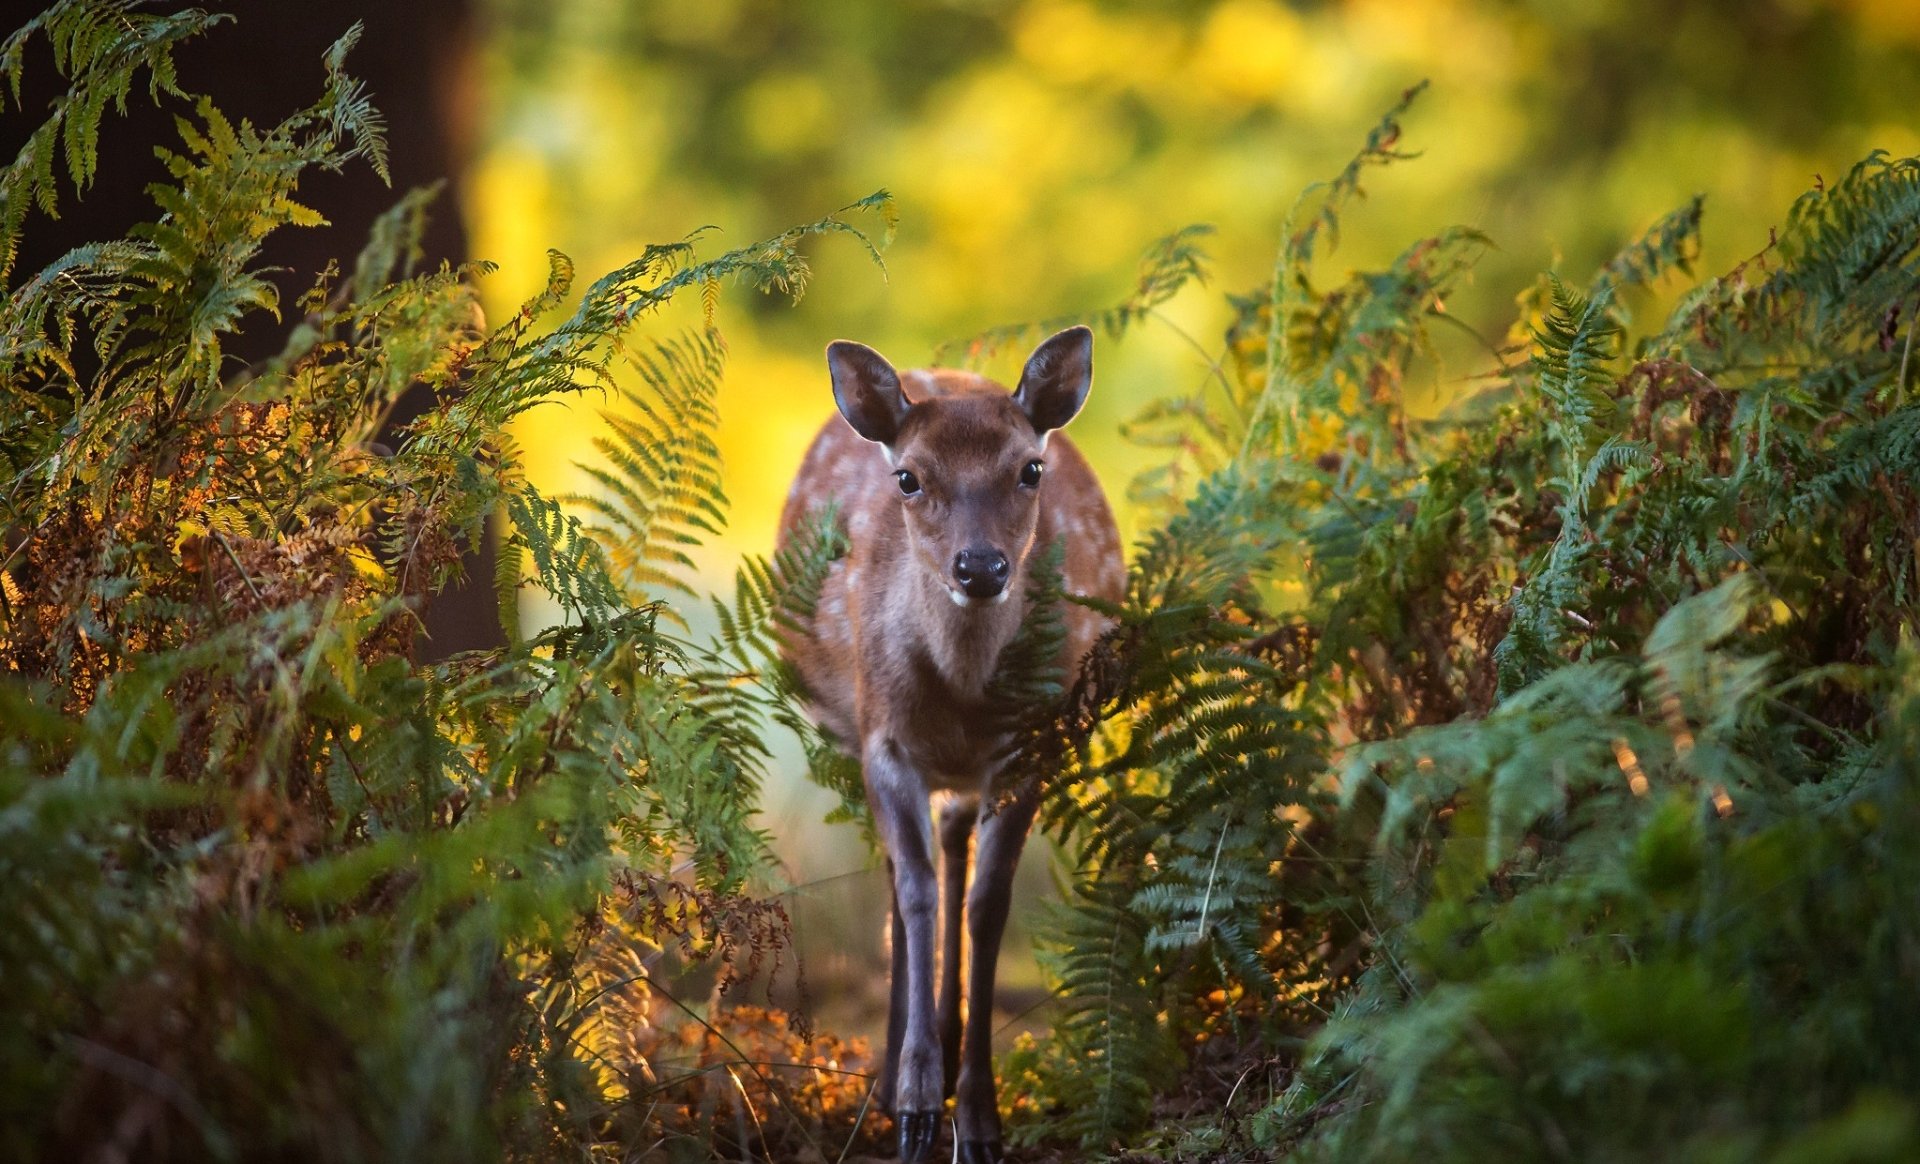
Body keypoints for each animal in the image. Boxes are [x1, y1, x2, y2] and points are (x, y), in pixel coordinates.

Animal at [776, 326, 1126, 1163]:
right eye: (908, 477)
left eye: (1030, 468)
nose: (981, 566)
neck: (962, 697)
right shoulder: (884, 742)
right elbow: (916, 893)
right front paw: (912, 1110)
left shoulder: (1030, 747)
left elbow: (988, 906)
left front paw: (979, 1119)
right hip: (855, 732)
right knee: (908, 876)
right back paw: (896, 1073)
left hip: (966, 777)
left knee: (955, 850)